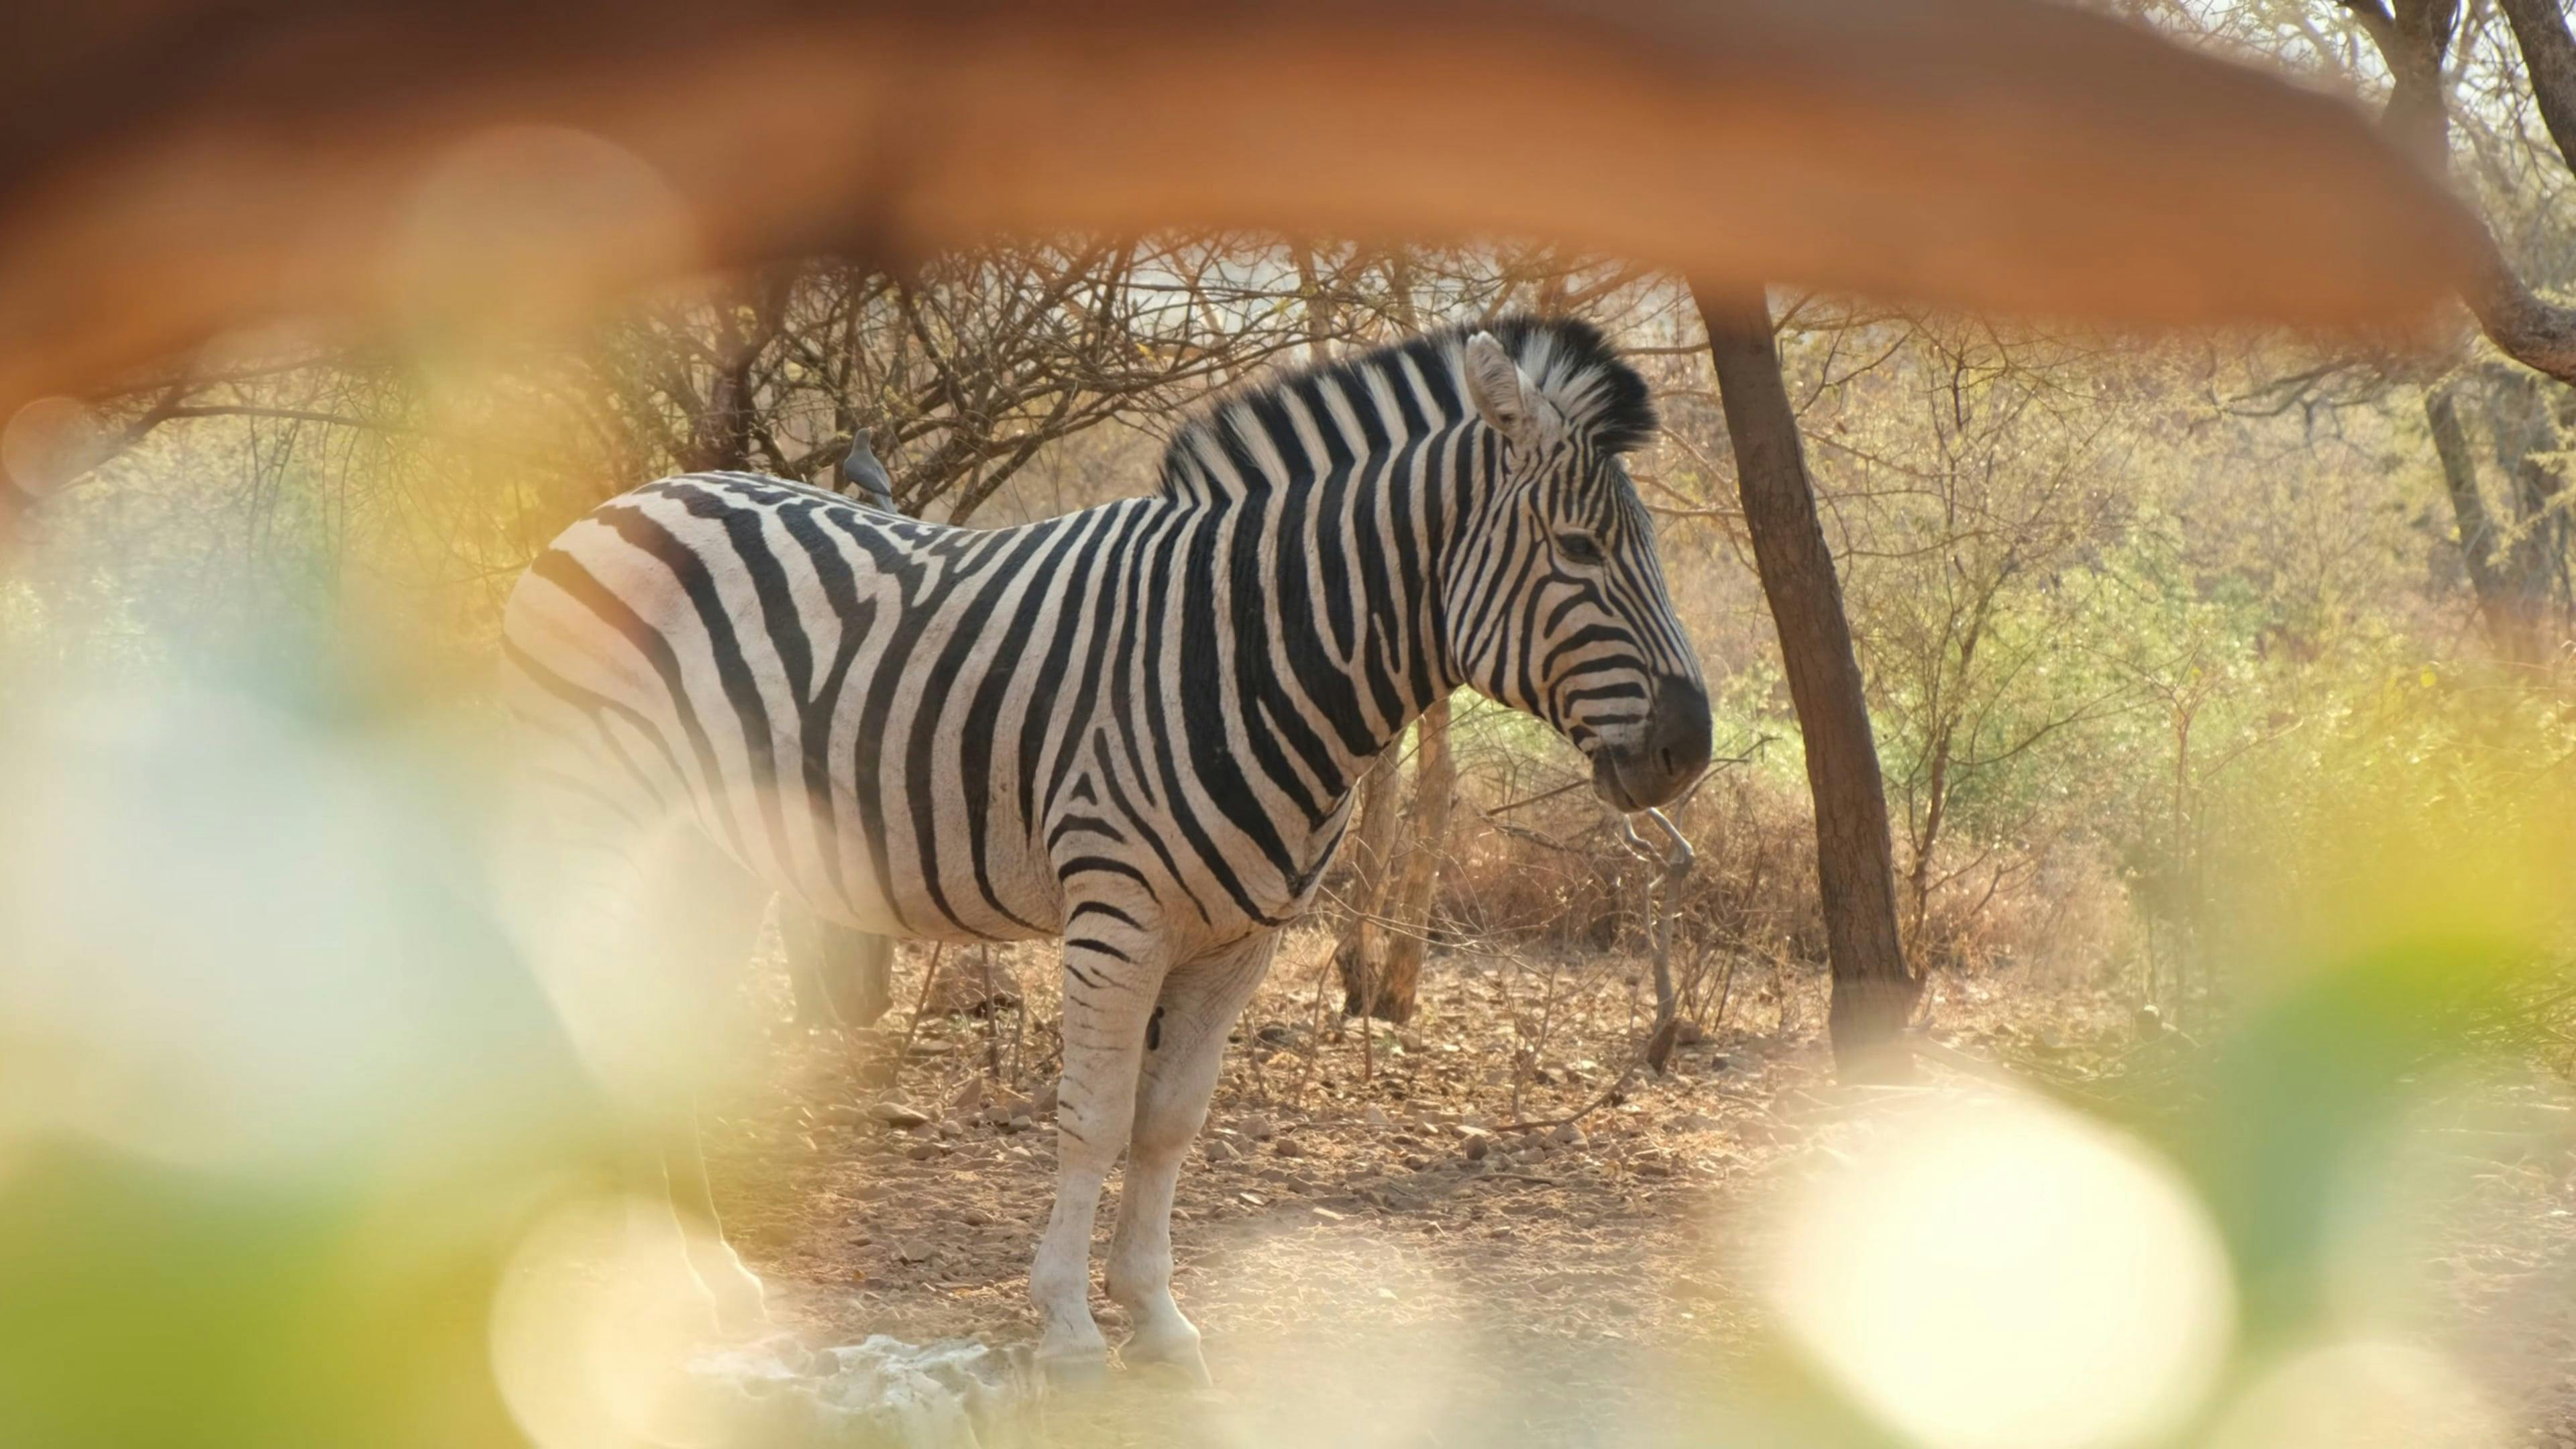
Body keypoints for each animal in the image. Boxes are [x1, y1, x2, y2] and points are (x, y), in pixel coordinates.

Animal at [498, 316, 1713, 1382]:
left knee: (664, 1032)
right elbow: (1091, 1121)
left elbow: (1168, 1124)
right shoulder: (1118, 916)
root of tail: (629, 499)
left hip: (710, 856)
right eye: (1579, 549)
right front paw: (1071, 1329)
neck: (1254, 652)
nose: (1690, 746)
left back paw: (708, 1281)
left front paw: (1157, 1318)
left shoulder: (1240, 941)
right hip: (594, 816)